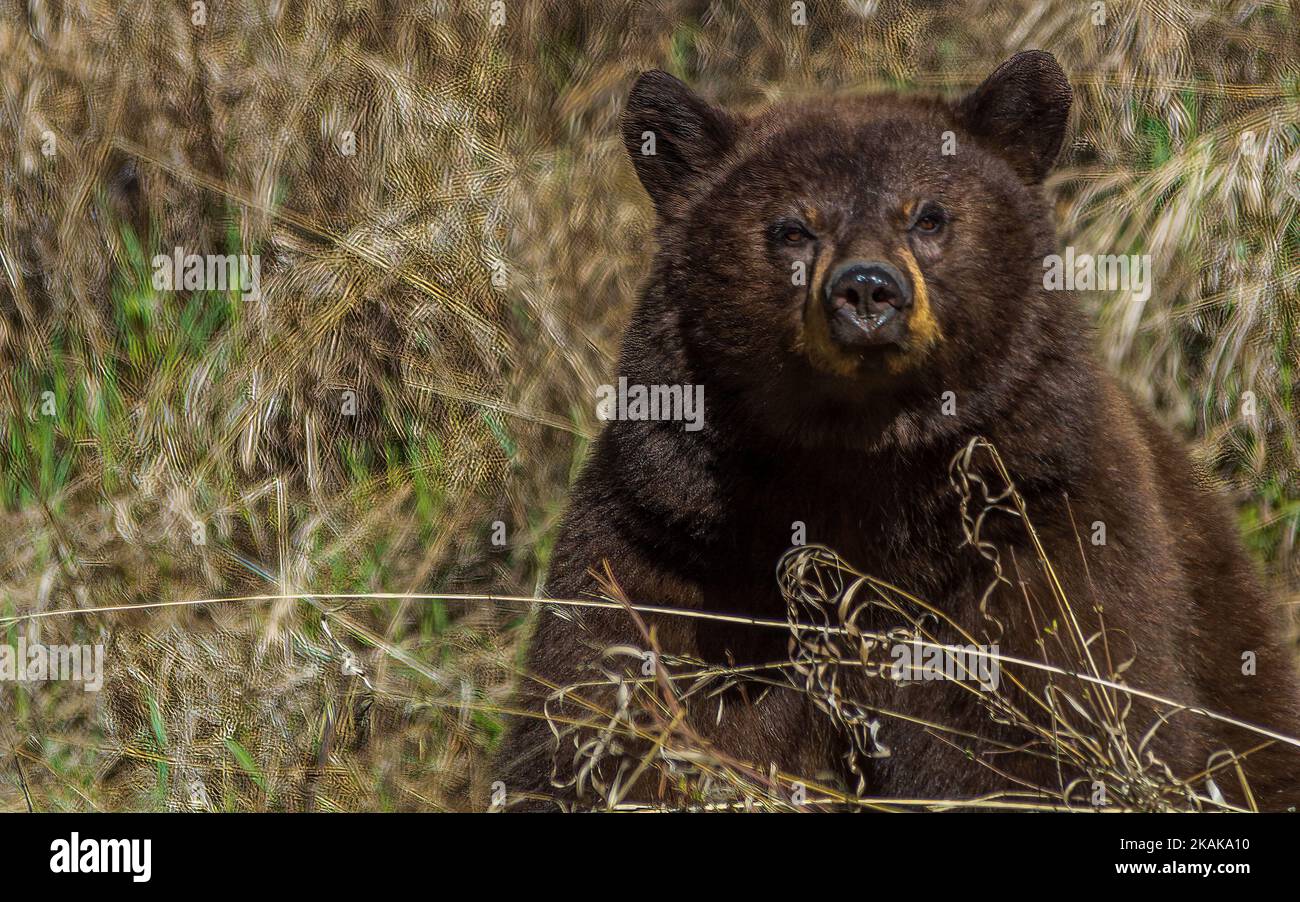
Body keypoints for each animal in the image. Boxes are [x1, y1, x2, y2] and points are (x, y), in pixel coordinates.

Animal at [495, 51, 1300, 811]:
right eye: (793, 227)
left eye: (929, 216)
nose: (866, 290)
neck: (864, 472)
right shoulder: (674, 544)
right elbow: (608, 712)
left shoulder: (1043, 529)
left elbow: (1067, 723)